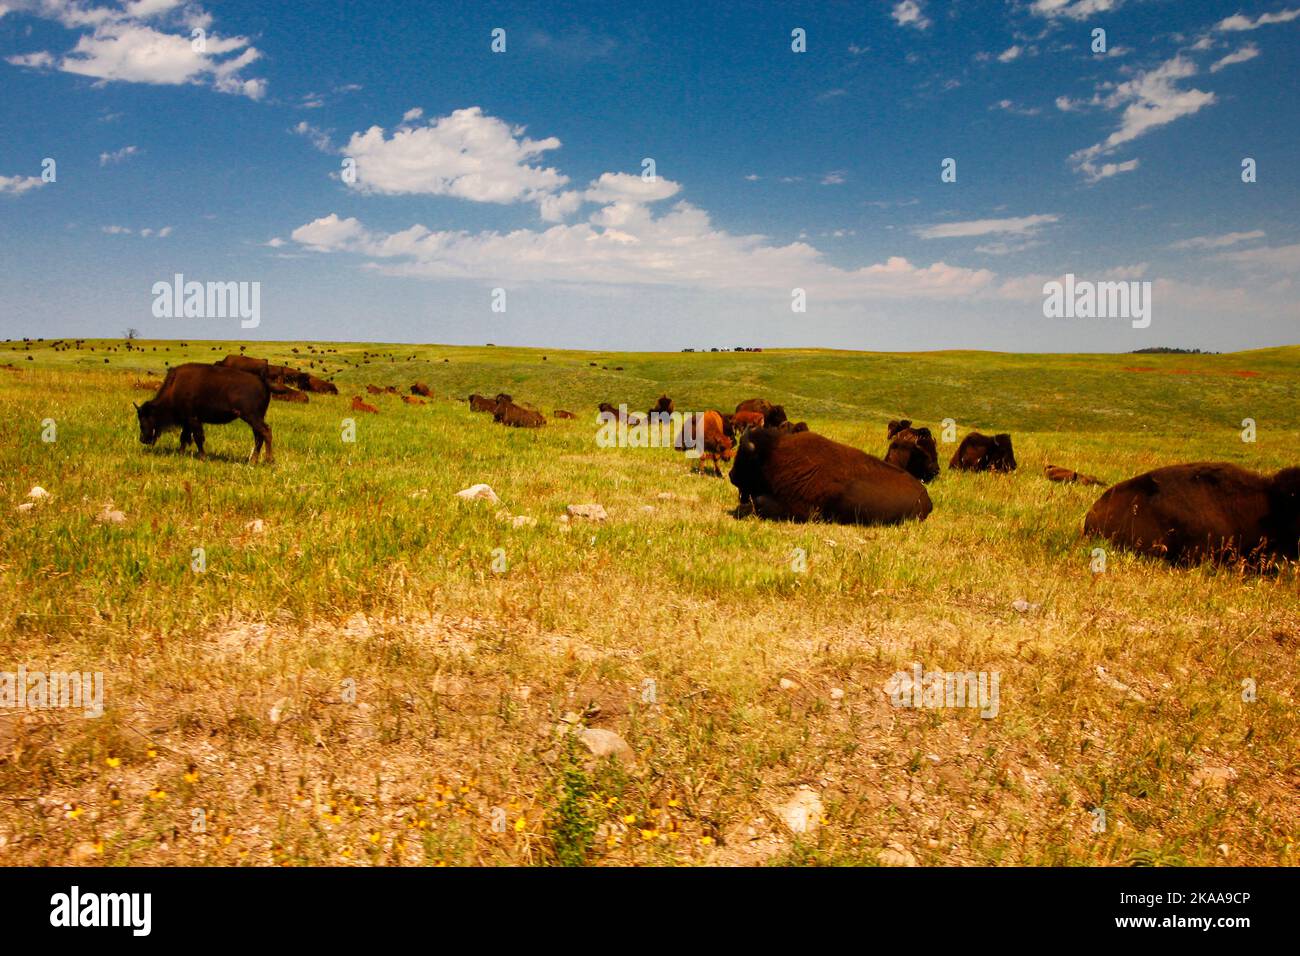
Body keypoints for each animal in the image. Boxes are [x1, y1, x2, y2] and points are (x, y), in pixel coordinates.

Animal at [136, 363, 272, 463]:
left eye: (144, 421)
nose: (142, 439)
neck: (174, 388)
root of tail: (262, 382)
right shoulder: (188, 422)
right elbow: (184, 437)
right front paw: (181, 453)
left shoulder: (193, 420)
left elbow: (197, 438)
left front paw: (203, 457)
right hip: (255, 418)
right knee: (259, 436)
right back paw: (253, 460)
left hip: (251, 417)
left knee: (265, 432)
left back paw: (268, 460)